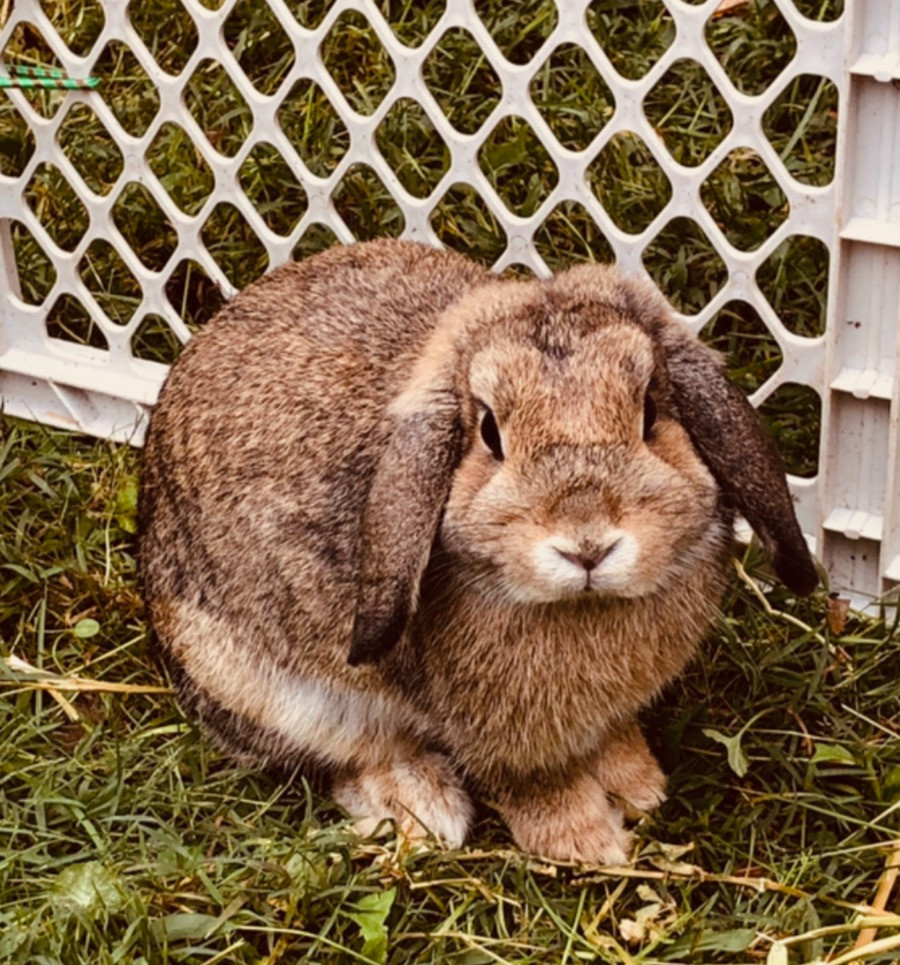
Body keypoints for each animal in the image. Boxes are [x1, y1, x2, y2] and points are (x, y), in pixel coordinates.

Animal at [140, 238, 818, 864]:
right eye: (490, 431)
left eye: (650, 412)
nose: (587, 543)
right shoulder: (498, 739)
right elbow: (534, 784)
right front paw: (586, 844)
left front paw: (640, 789)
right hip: (274, 695)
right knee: (344, 757)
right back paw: (427, 809)